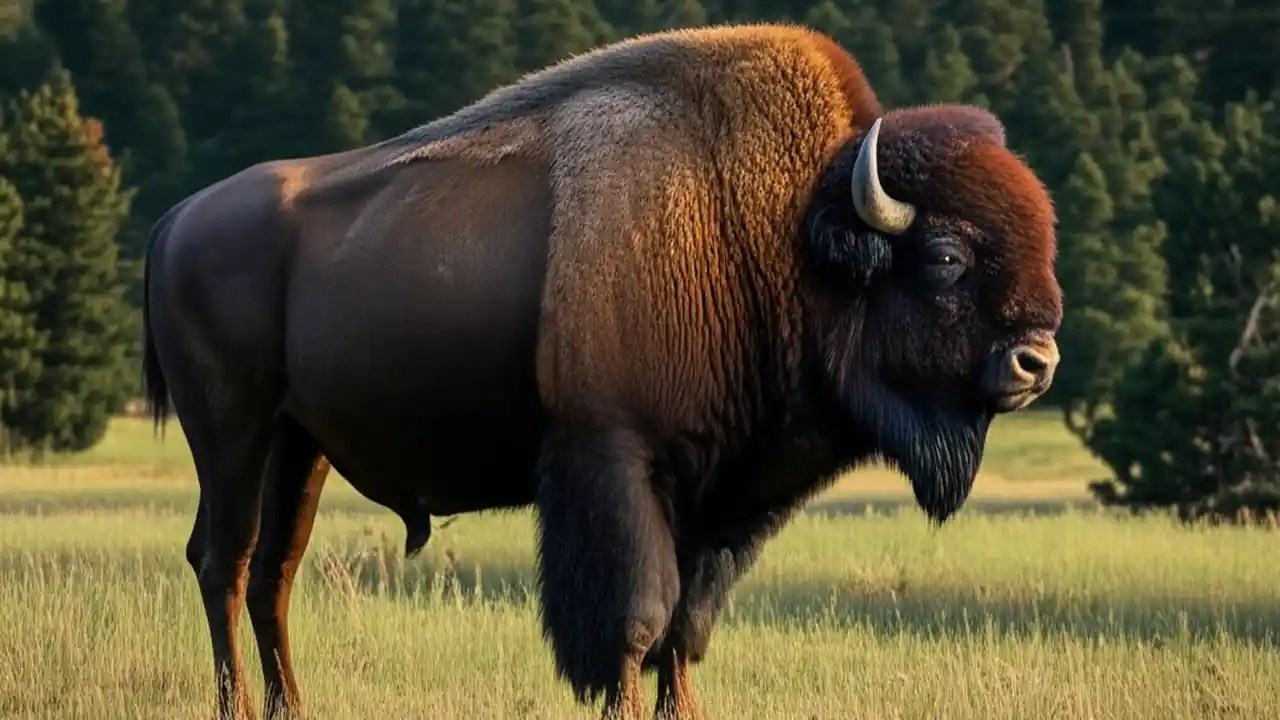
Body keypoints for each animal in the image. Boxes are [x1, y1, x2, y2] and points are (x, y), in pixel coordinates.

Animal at [141, 23, 1062, 720]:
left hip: (301, 448)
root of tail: (182, 216)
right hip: (231, 435)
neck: (779, 235)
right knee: (223, 562)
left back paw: (292, 705)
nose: (1037, 360)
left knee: (272, 572)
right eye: (945, 255)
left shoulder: (720, 497)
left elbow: (687, 624)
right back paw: (236, 707)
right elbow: (636, 617)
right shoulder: (616, 460)